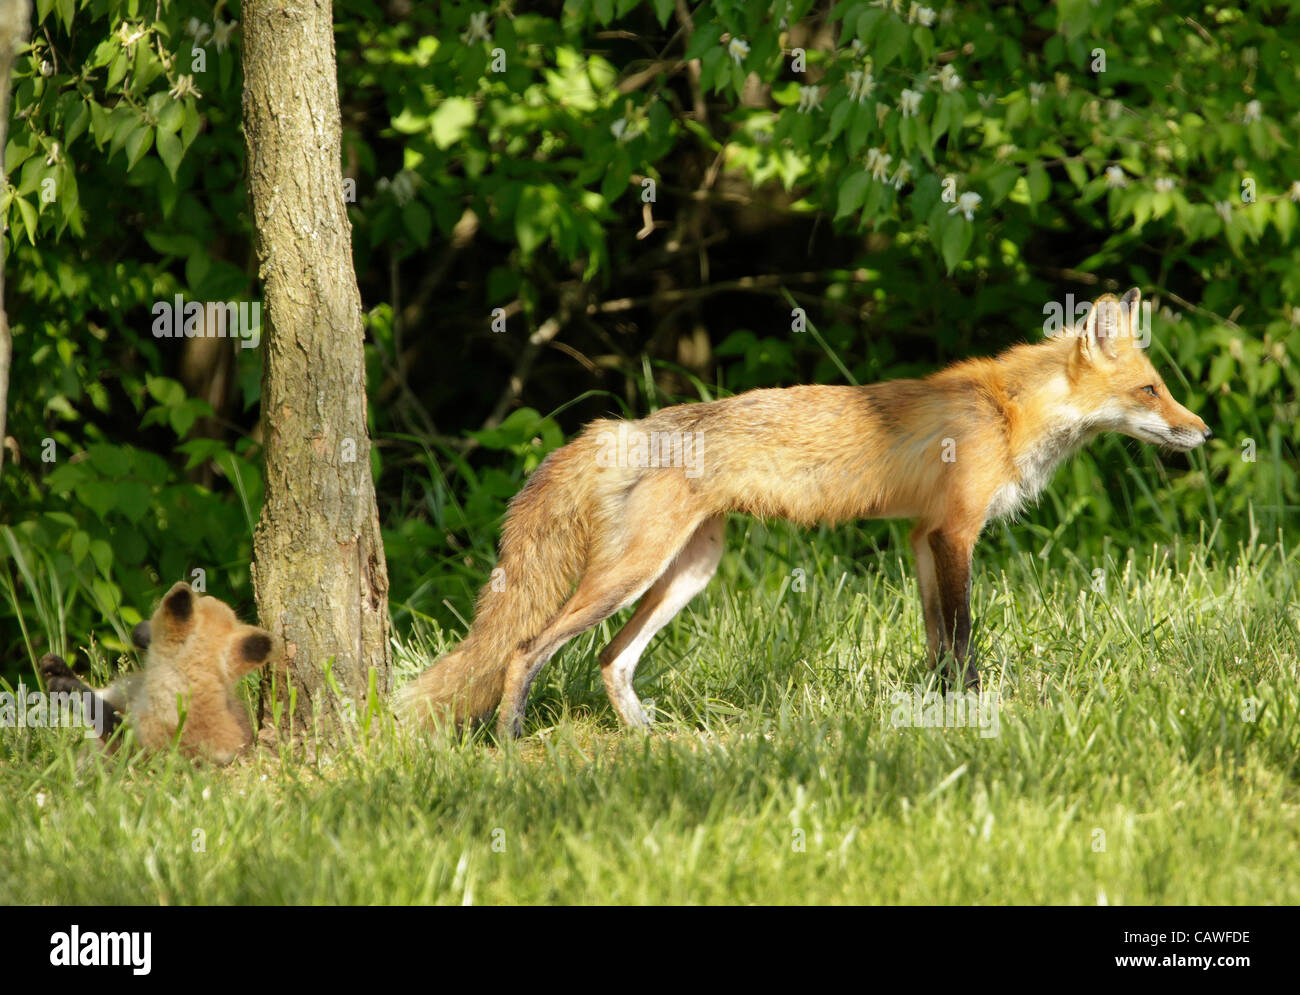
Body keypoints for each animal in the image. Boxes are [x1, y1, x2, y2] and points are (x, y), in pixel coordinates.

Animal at [39, 581, 277, 764]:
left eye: (153, 618)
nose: (136, 629)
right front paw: (60, 673)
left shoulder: (141, 749)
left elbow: (105, 718)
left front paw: (67, 688)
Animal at [401, 288, 1211, 739]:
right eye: (1152, 390)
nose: (1203, 431)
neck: (1008, 413)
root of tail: (623, 424)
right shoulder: (955, 531)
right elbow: (964, 641)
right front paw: (976, 710)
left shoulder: (920, 535)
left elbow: (936, 643)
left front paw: (939, 711)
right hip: (630, 572)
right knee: (523, 650)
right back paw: (511, 740)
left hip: (688, 571)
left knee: (609, 659)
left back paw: (644, 737)